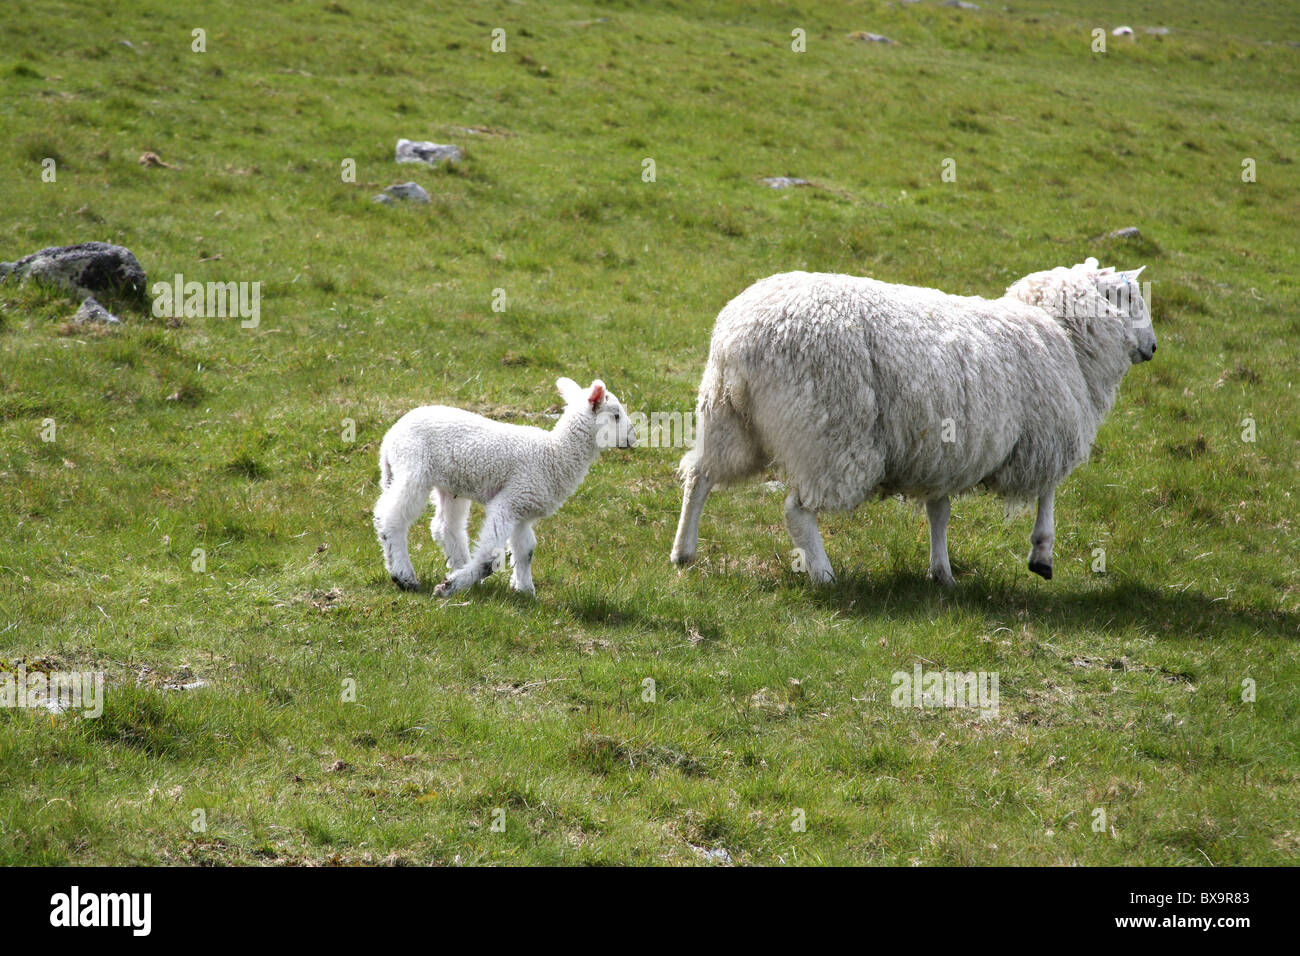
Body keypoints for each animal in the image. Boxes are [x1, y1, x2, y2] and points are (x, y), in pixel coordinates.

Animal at [374, 378, 635, 597]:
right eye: (616, 415)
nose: (632, 438)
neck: (555, 454)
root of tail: (389, 438)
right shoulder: (511, 500)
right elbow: (490, 556)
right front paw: (449, 587)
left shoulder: (524, 510)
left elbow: (526, 551)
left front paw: (526, 590)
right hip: (413, 467)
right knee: (391, 517)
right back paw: (404, 576)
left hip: (450, 485)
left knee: (445, 527)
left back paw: (460, 569)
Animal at [670, 258, 1155, 585]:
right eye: (1130, 298)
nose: (1152, 348)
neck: (1061, 334)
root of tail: (739, 338)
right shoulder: (1043, 435)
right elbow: (1048, 494)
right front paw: (1042, 554)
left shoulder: (944, 454)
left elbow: (939, 512)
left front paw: (942, 572)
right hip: (831, 435)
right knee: (797, 509)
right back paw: (823, 573)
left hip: (729, 418)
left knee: (700, 475)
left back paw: (683, 552)